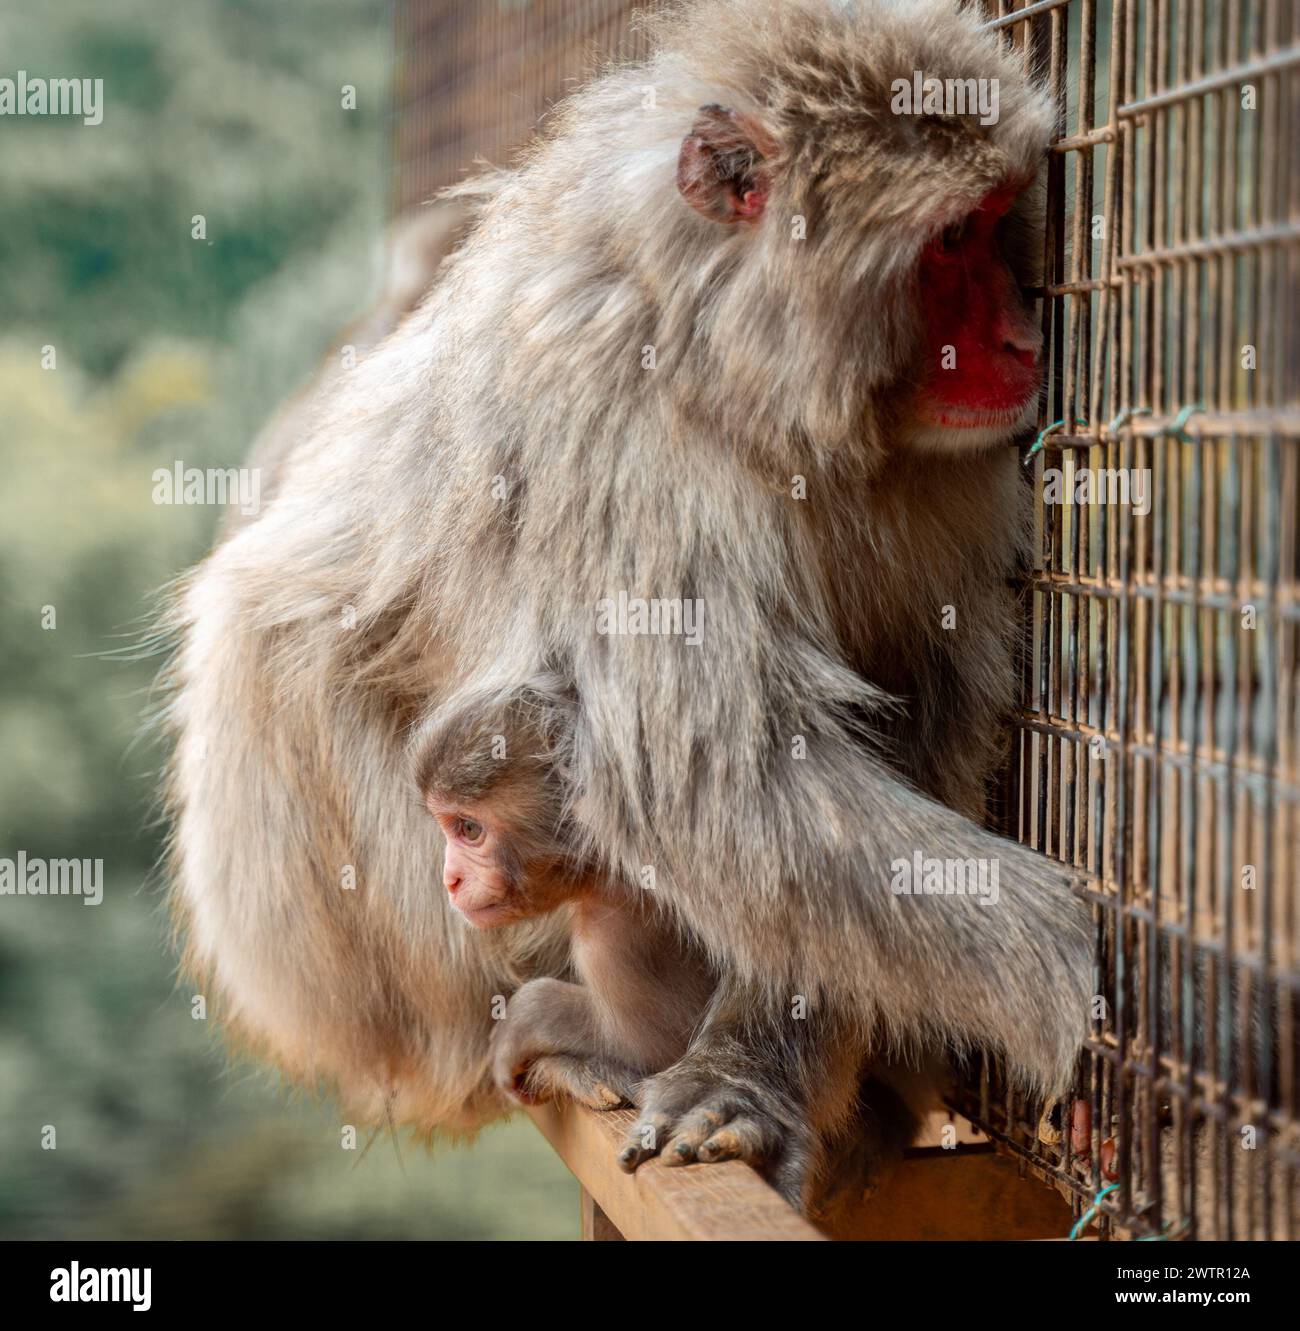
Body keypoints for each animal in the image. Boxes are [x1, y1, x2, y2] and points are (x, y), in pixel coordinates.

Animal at [164, 0, 1096, 1210]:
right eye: (948, 245)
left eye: (994, 224)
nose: (1022, 338)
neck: (729, 368)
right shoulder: (623, 433)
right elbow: (714, 786)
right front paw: (1072, 977)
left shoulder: (955, 472)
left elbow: (903, 720)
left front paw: (749, 1075)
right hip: (416, 941)